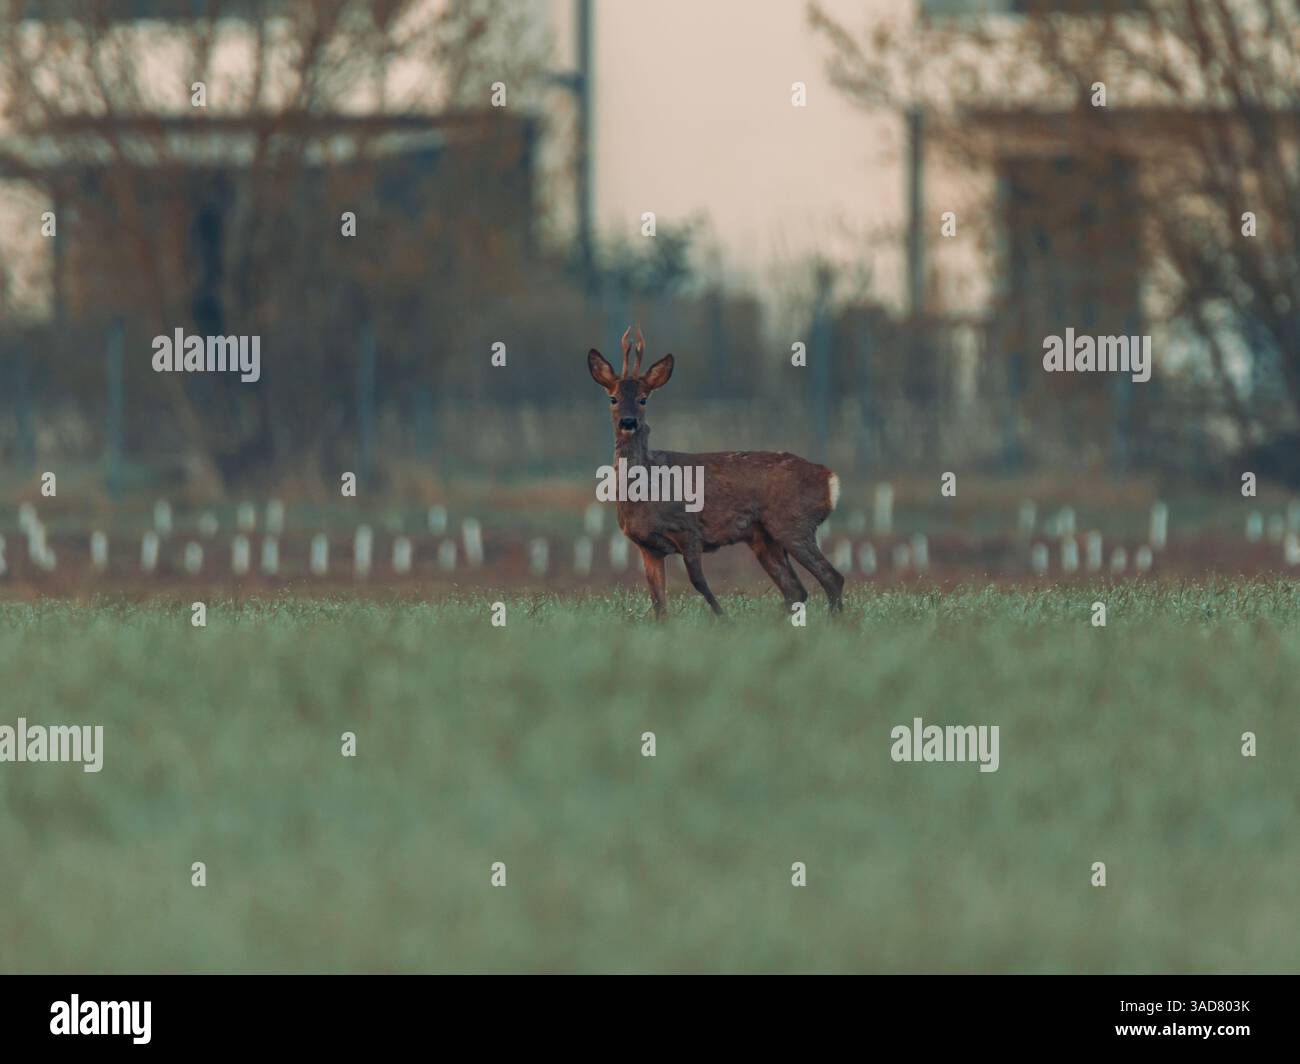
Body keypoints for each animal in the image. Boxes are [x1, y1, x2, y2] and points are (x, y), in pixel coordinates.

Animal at [588, 325, 845, 620]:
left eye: (643, 398)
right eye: (613, 398)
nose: (628, 422)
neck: (647, 490)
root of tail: (830, 478)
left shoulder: (688, 529)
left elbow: (699, 583)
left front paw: (724, 618)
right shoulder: (648, 547)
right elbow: (658, 603)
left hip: (793, 523)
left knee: (831, 577)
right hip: (763, 537)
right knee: (796, 590)